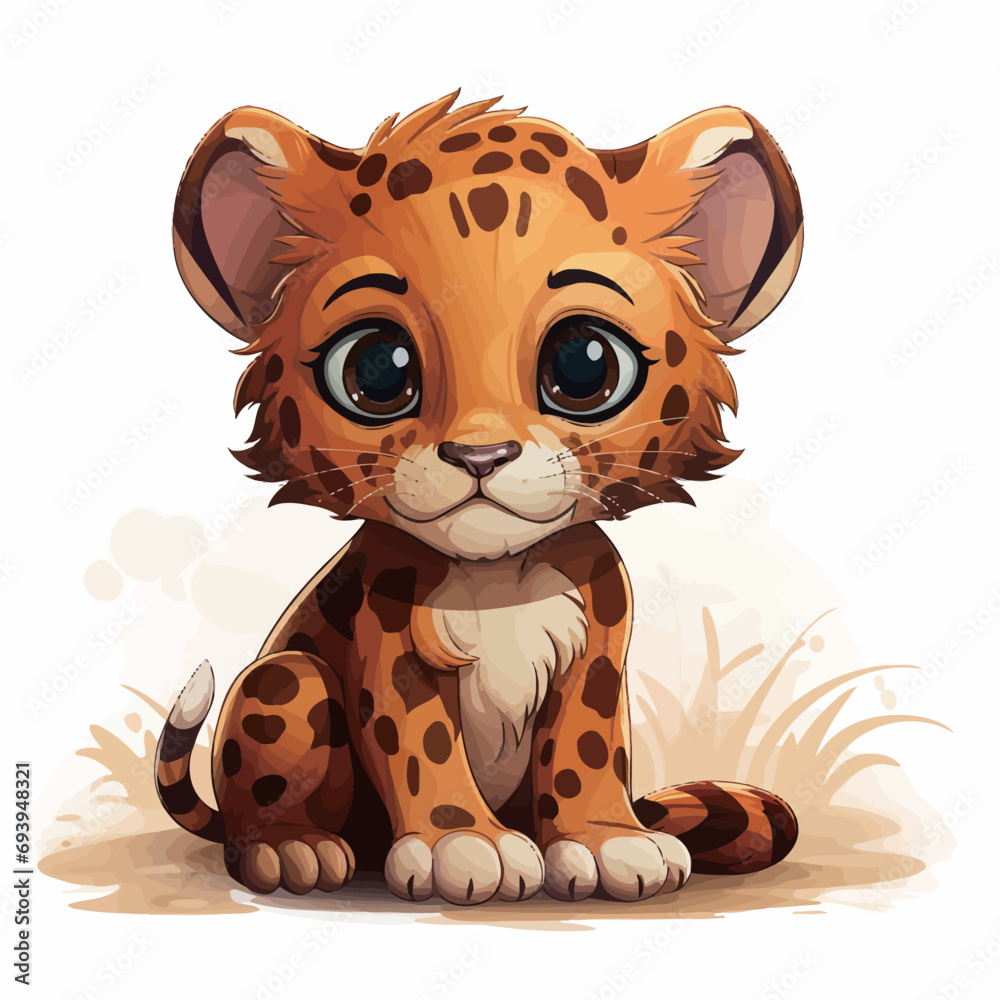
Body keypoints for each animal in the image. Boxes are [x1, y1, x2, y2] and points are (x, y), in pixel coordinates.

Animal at [156, 90, 803, 905]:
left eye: (585, 363)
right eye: (377, 367)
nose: (479, 455)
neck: (499, 575)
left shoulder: (597, 652)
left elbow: (587, 749)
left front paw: (607, 842)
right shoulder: (390, 650)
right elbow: (423, 743)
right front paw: (461, 843)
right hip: (287, 680)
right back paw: (289, 845)